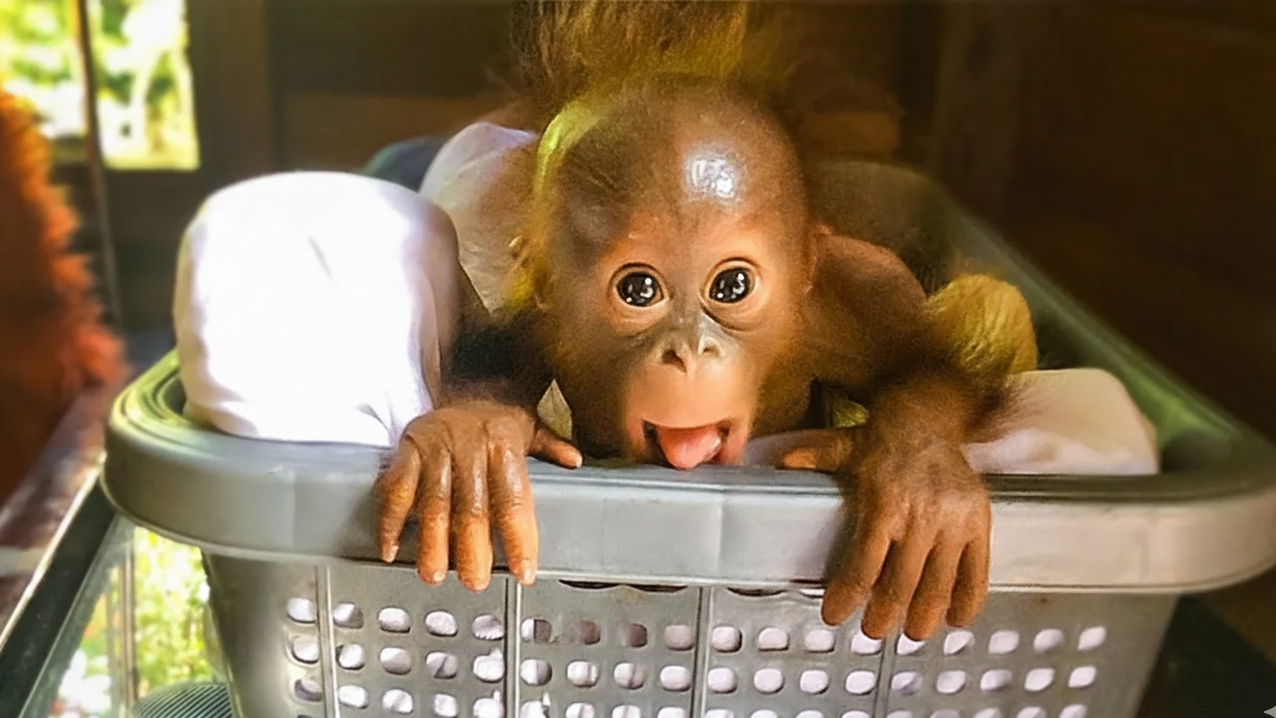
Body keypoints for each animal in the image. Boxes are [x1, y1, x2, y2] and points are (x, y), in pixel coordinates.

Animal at [376, 1, 1037, 642]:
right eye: (639, 289)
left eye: (732, 285)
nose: (690, 351)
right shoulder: (539, 317)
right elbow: (496, 363)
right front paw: (473, 439)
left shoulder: (863, 296)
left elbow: (923, 364)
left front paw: (920, 476)